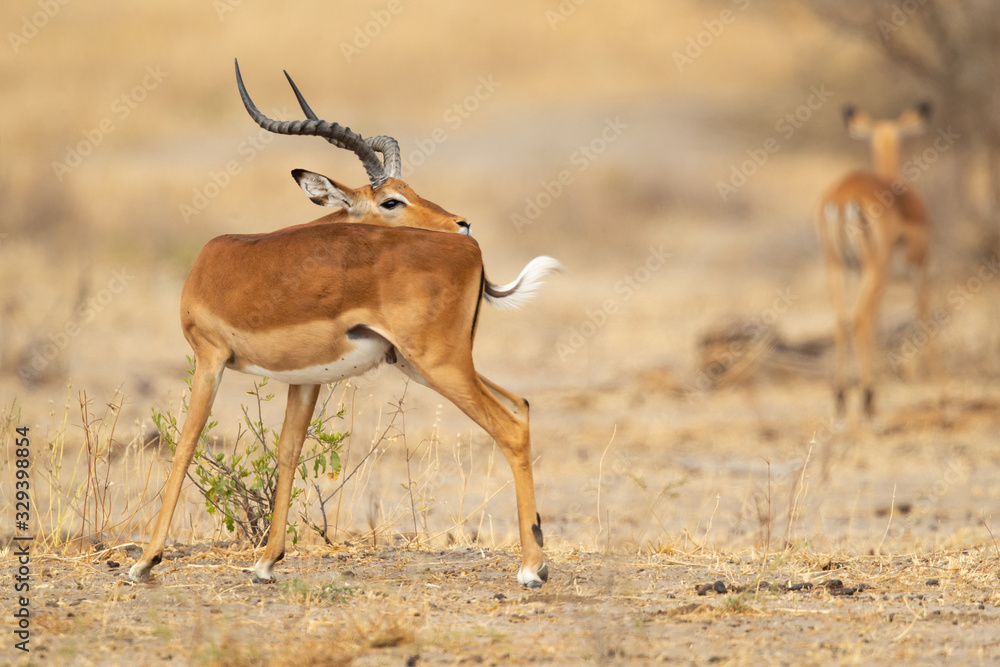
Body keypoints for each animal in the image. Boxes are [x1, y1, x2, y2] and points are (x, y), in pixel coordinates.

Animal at [129, 61, 562, 588]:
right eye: (394, 199)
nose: (462, 222)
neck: (215, 267)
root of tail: (472, 254)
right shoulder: (305, 377)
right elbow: (288, 450)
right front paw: (266, 562)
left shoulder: (209, 360)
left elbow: (185, 445)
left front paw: (144, 561)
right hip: (425, 362)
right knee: (521, 404)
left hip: (439, 364)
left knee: (510, 427)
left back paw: (532, 569)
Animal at [816, 102, 933, 418]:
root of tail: (843, 198)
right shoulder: (920, 269)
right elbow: (924, 315)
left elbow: (878, 322)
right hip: (875, 268)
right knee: (859, 319)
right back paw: (868, 397)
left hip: (838, 266)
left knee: (842, 319)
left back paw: (841, 397)